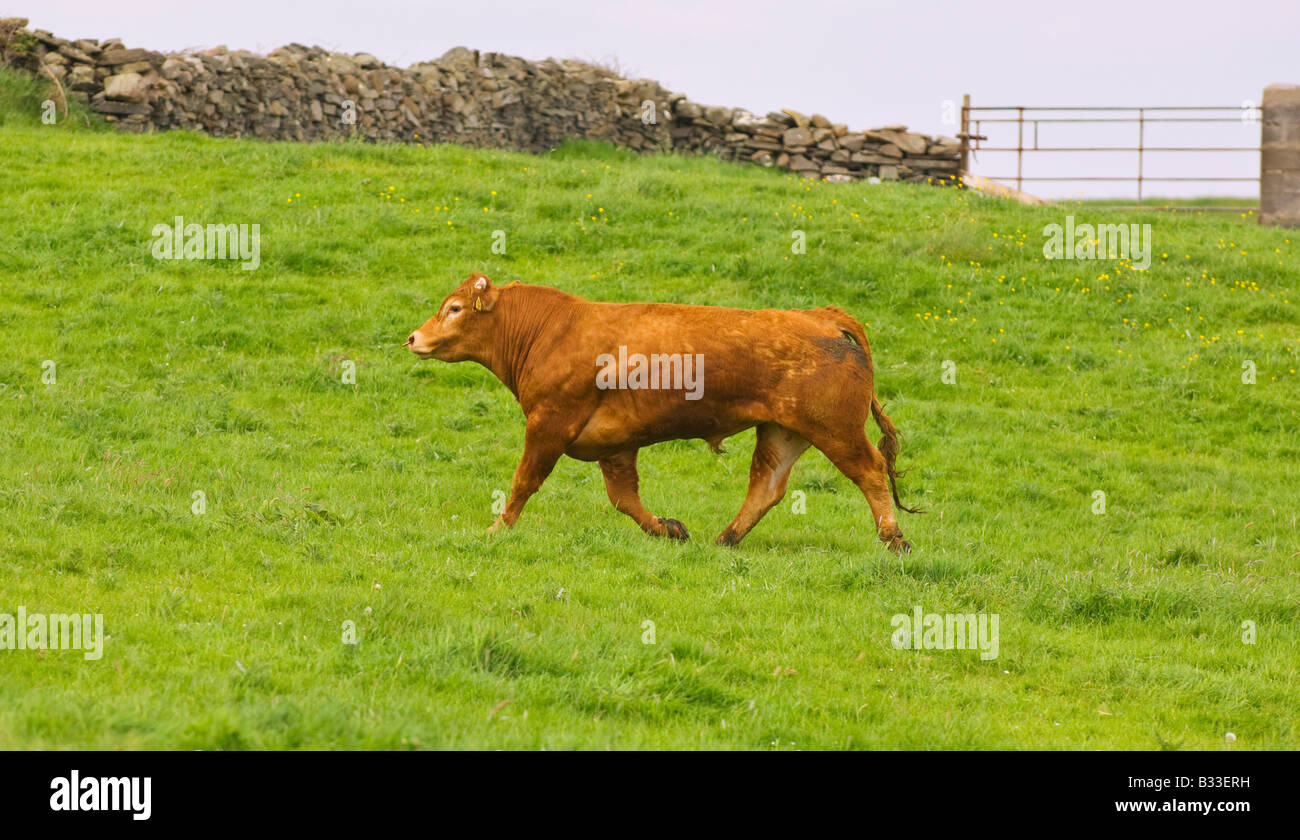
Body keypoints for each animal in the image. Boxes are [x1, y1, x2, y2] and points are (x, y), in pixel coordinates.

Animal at [406, 274, 918, 553]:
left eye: (454, 308)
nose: (414, 337)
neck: (551, 330)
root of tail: (818, 315)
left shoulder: (549, 423)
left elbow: (524, 481)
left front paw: (499, 527)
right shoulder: (614, 444)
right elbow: (624, 498)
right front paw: (668, 528)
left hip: (836, 429)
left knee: (871, 471)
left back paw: (893, 537)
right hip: (782, 431)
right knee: (766, 486)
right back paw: (726, 539)